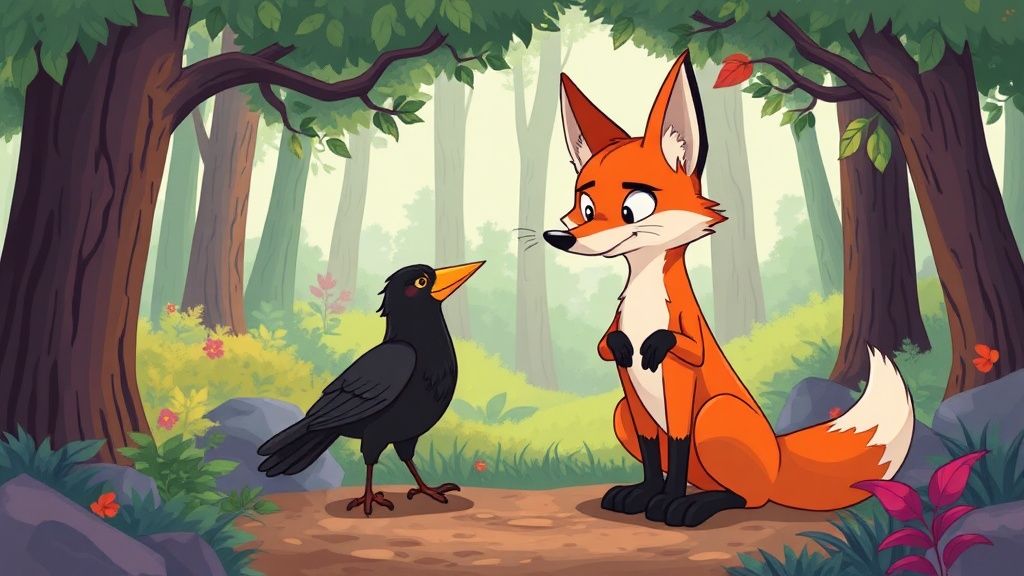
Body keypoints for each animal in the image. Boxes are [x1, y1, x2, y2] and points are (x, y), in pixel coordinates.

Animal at [543, 51, 915, 527]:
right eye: (585, 207)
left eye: (634, 208)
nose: (559, 238)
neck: (644, 304)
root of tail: (778, 454)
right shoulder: (633, 394)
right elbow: (628, 393)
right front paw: (644, 493)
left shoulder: (684, 366)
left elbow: (683, 388)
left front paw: (665, 502)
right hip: (624, 413)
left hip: (714, 414)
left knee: (748, 497)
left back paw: (693, 503)